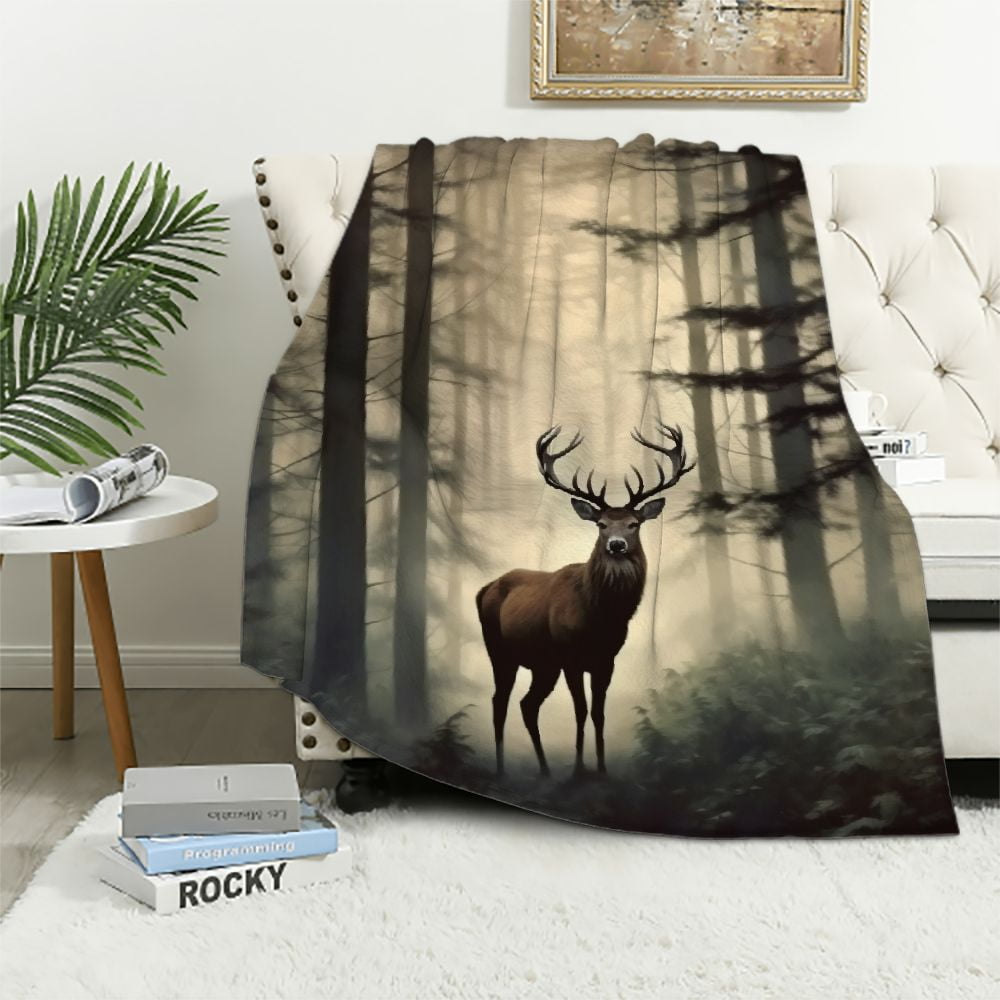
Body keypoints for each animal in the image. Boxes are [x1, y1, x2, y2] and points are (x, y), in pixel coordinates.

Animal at [475, 421, 694, 778]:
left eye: (634, 524)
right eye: (601, 524)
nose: (617, 544)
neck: (598, 617)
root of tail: (484, 589)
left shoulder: (607, 659)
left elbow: (598, 713)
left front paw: (602, 769)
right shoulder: (571, 656)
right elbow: (579, 711)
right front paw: (579, 770)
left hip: (543, 664)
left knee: (527, 704)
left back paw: (545, 770)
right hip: (499, 649)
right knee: (499, 701)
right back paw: (501, 769)